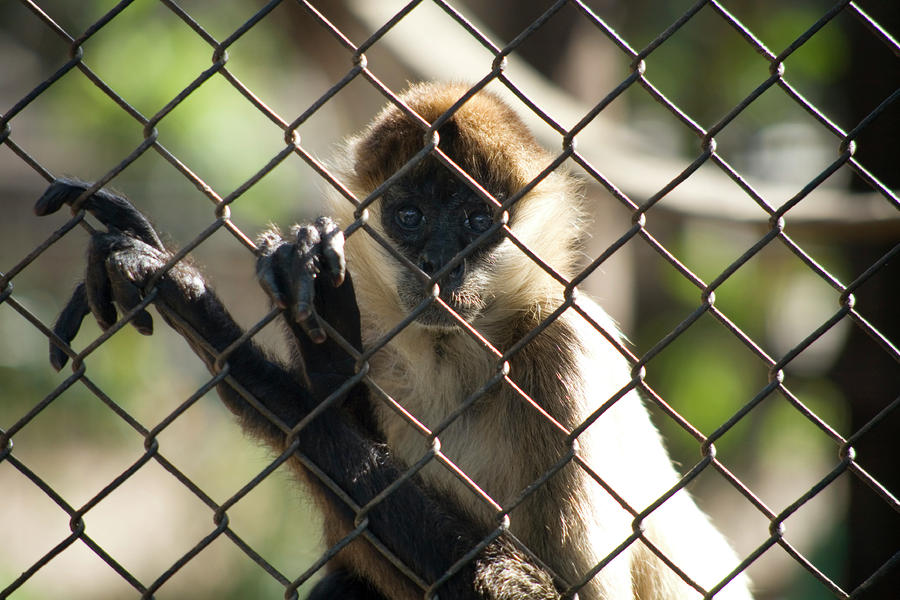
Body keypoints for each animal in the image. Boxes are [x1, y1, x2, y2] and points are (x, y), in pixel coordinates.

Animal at [37, 82, 752, 599]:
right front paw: (318, 326)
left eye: (475, 221)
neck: (453, 354)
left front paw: (215, 330)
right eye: (410, 217)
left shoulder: (565, 345)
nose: (440, 263)